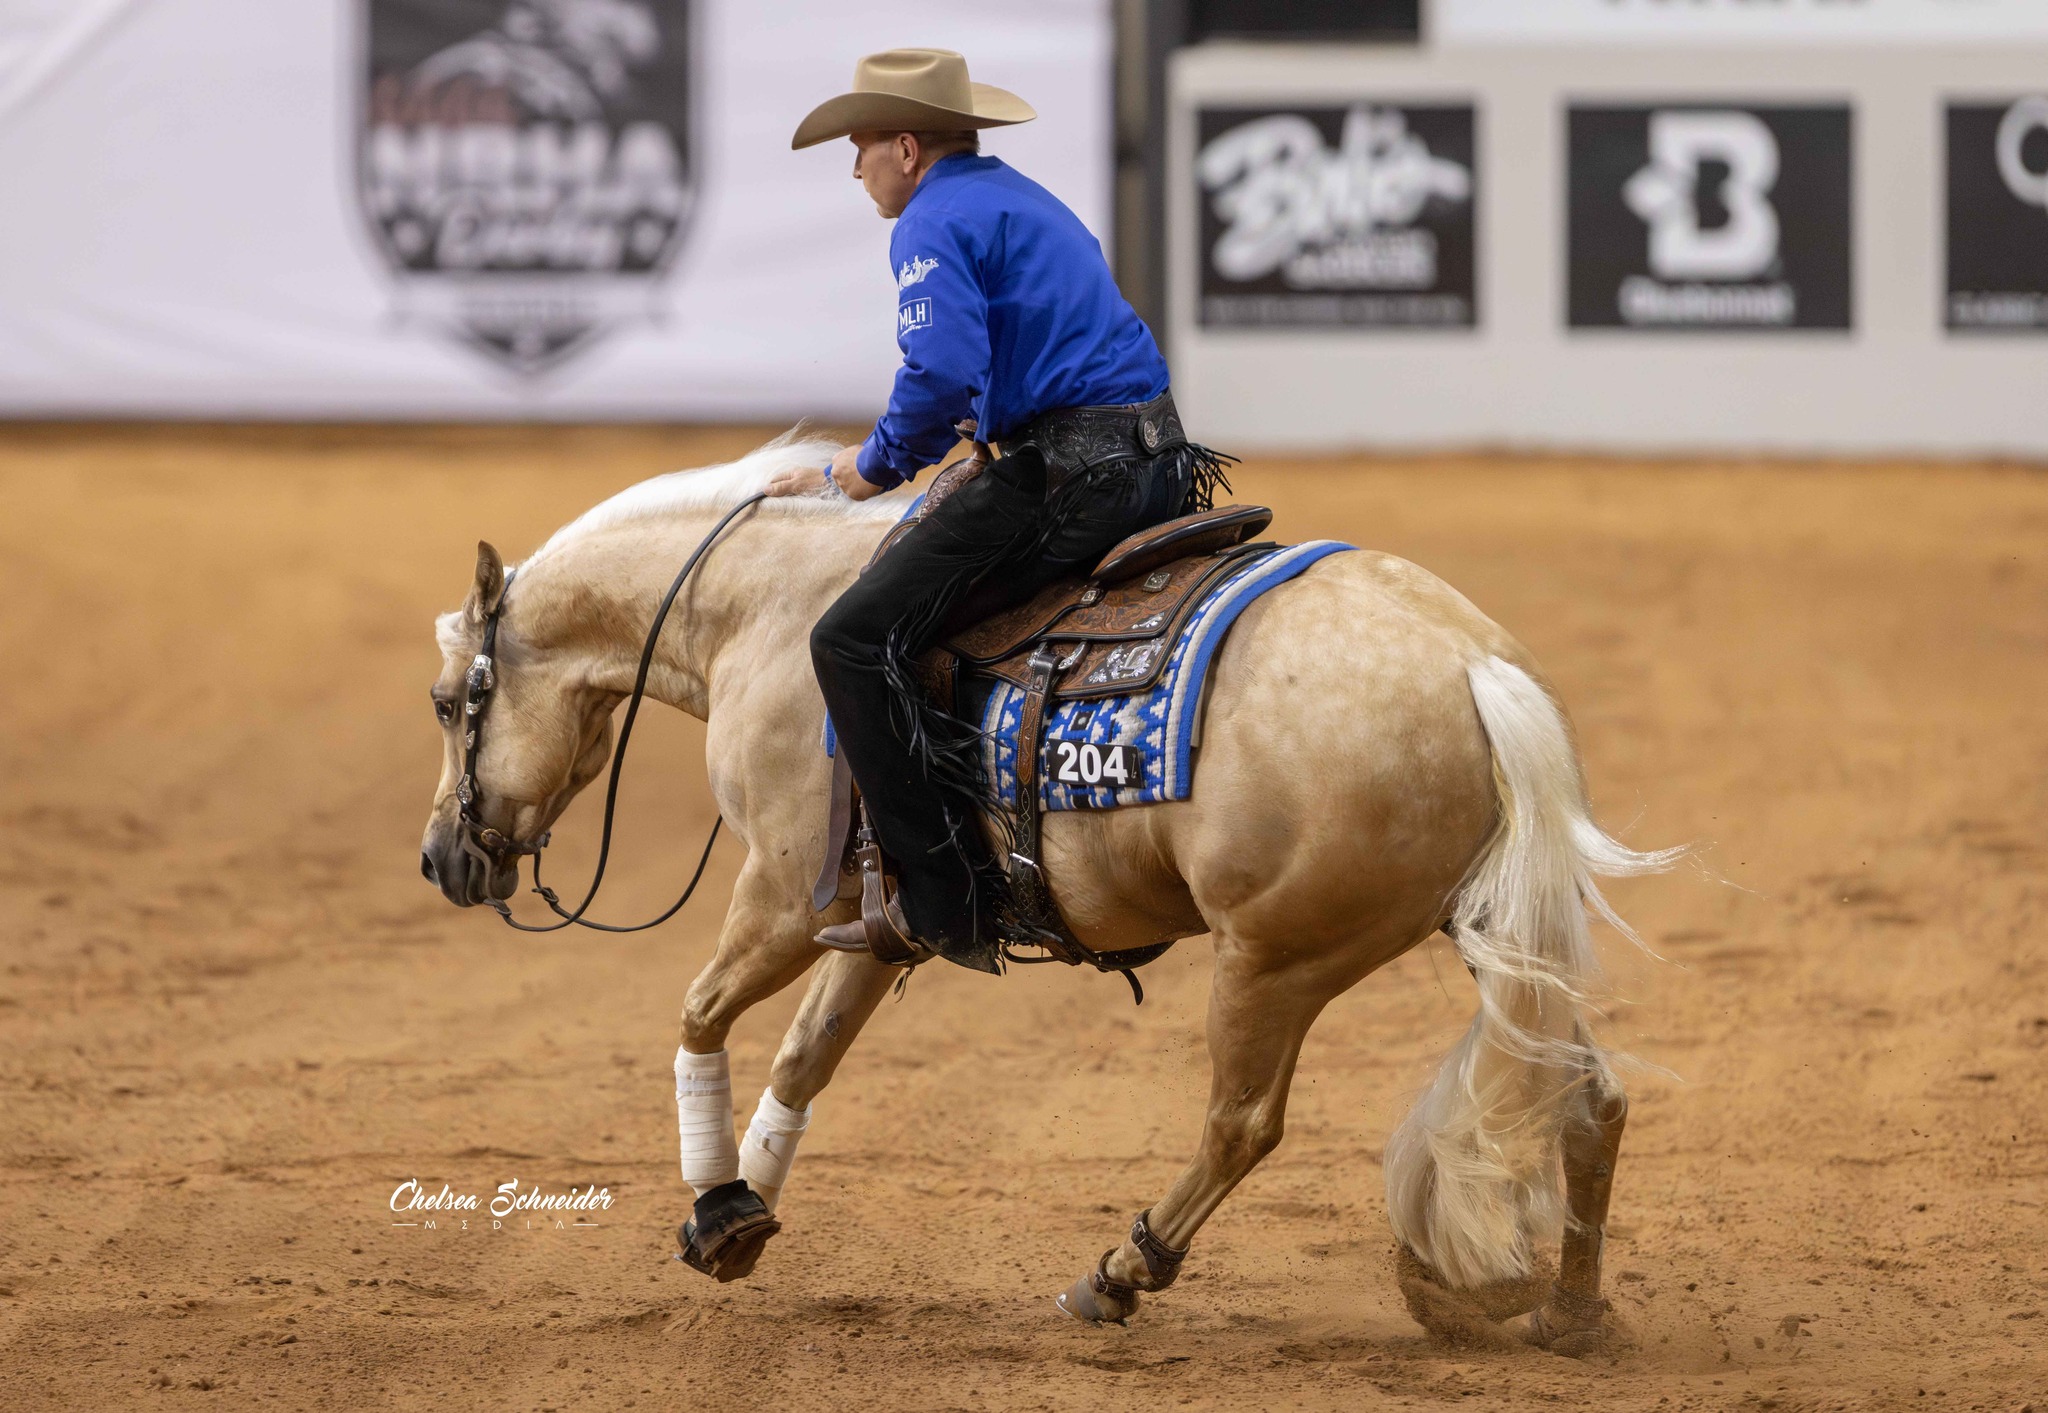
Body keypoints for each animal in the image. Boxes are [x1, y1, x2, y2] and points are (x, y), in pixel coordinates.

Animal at [417, 432, 1677, 1351]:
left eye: (443, 701)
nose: (440, 860)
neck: (758, 614)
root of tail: (1473, 663)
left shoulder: (780, 892)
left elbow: (700, 1015)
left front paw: (718, 1207)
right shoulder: (879, 919)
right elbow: (804, 1058)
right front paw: (747, 1213)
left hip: (1273, 959)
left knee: (1239, 1125)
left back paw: (1116, 1274)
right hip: (1496, 933)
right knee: (1587, 1098)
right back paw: (1569, 1312)